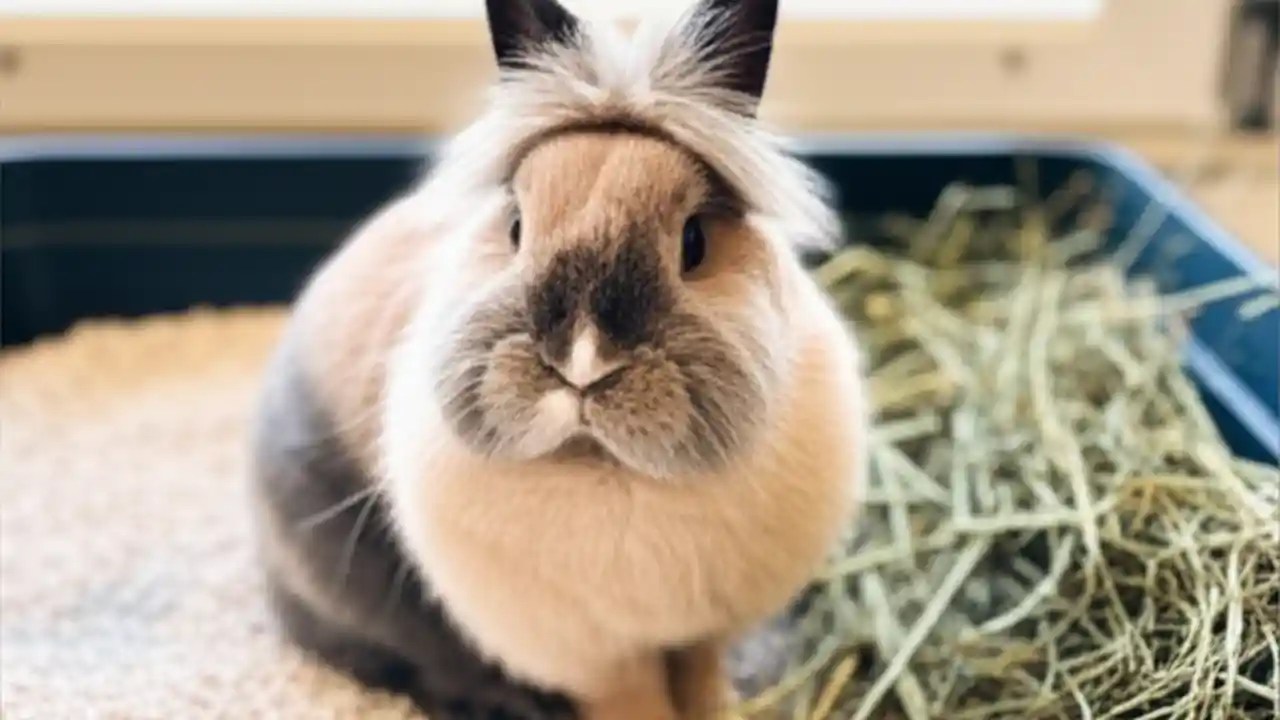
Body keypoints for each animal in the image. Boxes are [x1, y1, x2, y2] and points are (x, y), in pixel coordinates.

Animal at [249, 0, 868, 718]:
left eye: (694, 243)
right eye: (516, 226)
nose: (582, 362)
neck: (610, 470)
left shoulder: (700, 634)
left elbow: (703, 685)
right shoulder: (599, 659)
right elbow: (637, 704)